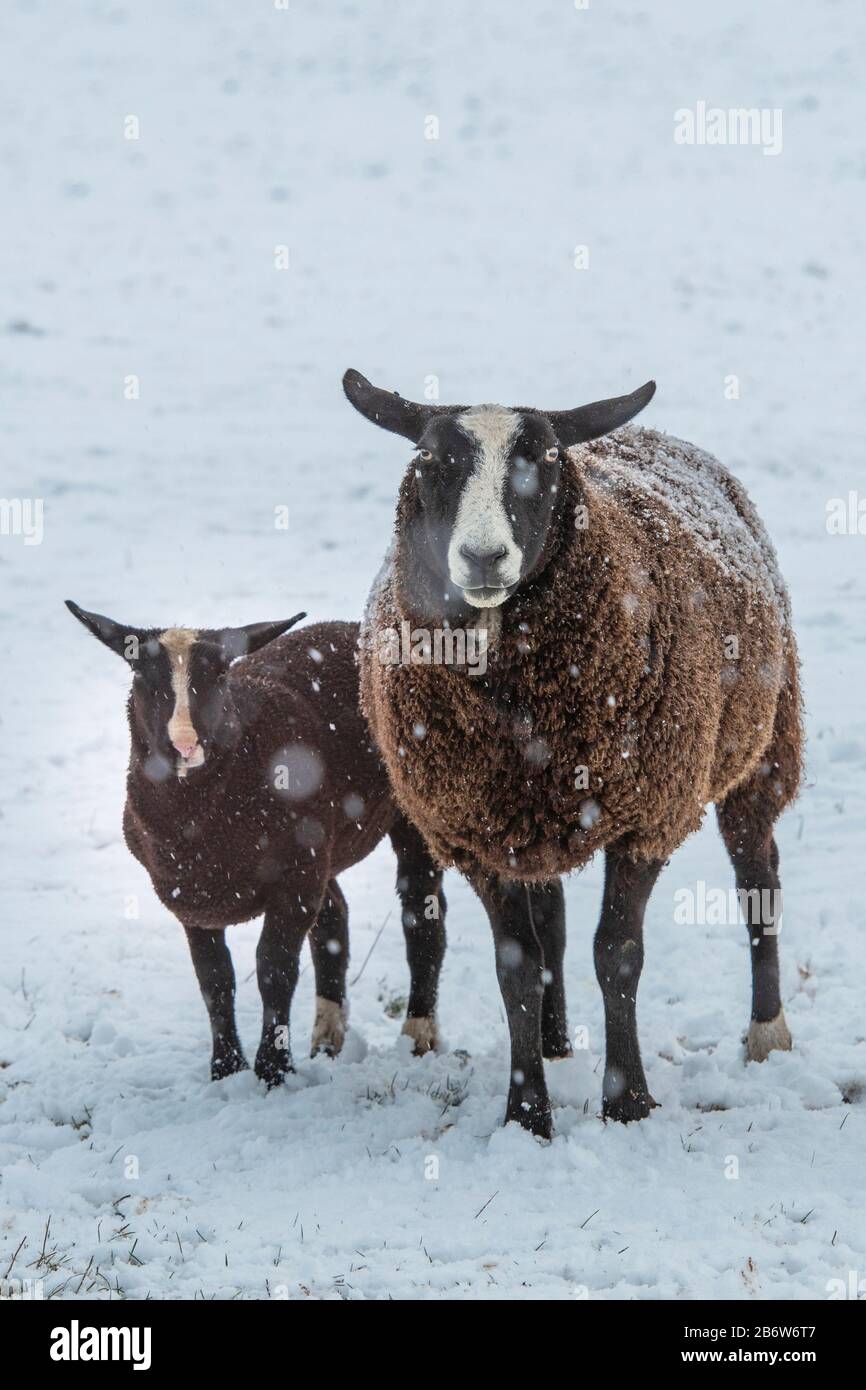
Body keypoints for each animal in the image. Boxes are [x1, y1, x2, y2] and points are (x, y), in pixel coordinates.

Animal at [65, 603, 447, 1083]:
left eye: (218, 676)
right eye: (140, 676)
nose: (184, 744)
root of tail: (360, 628)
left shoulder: (294, 882)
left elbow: (274, 970)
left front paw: (272, 1070)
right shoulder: (192, 896)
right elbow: (215, 979)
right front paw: (226, 1068)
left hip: (409, 815)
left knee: (422, 912)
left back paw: (418, 1035)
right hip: (319, 849)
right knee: (334, 916)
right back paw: (327, 1039)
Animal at [343, 368, 803, 1138]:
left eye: (549, 459)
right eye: (431, 459)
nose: (483, 558)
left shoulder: (649, 813)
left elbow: (617, 955)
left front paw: (628, 1102)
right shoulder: (474, 828)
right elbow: (517, 965)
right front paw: (528, 1113)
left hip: (763, 748)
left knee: (757, 878)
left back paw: (768, 1033)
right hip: (530, 816)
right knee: (550, 915)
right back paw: (556, 1045)